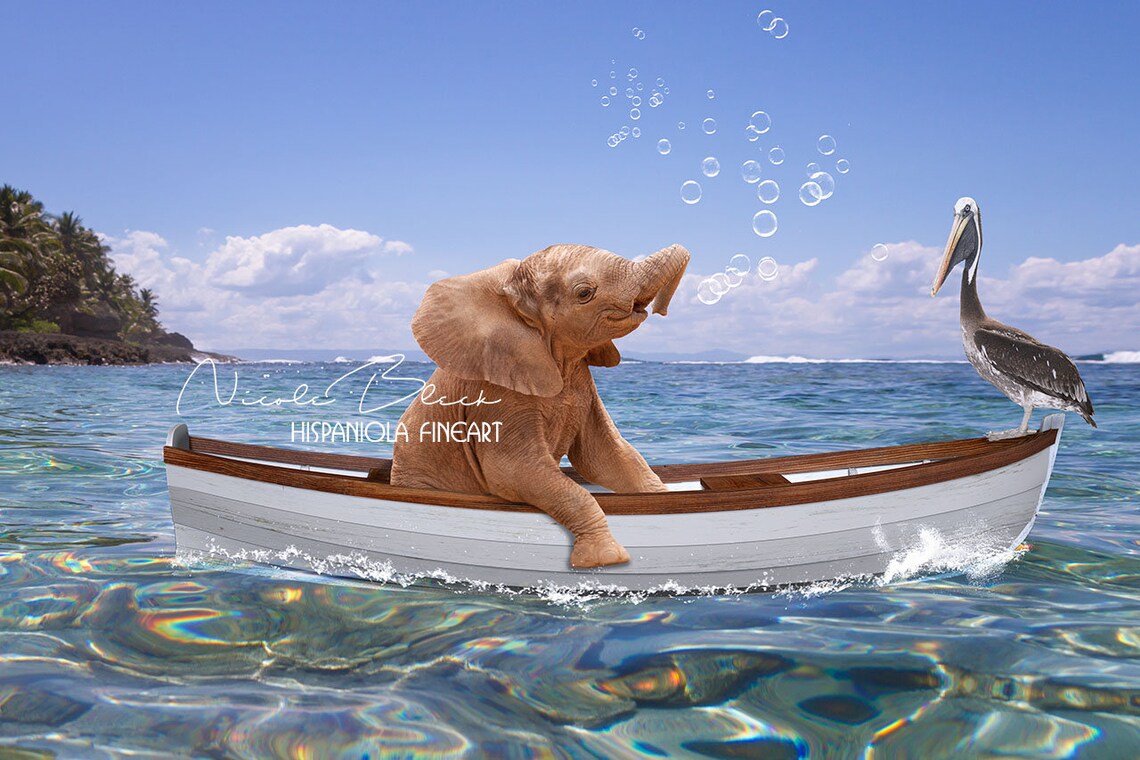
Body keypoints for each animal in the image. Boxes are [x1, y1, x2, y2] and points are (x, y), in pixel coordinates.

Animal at [391, 243, 690, 568]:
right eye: (585, 293)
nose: (661, 309)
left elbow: (608, 456)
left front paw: (661, 497)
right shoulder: (495, 393)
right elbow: (513, 472)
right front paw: (607, 559)